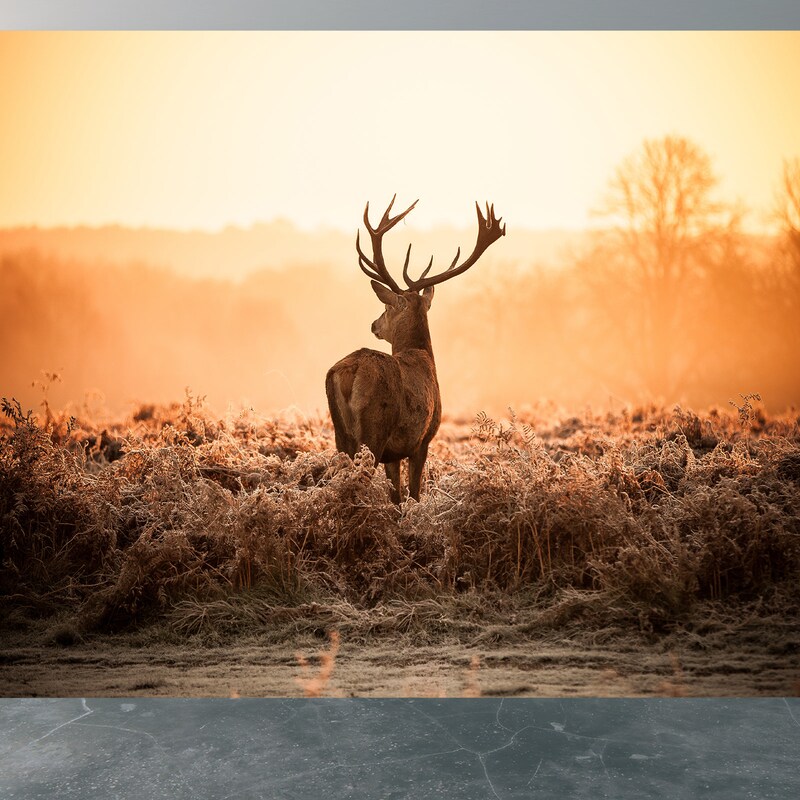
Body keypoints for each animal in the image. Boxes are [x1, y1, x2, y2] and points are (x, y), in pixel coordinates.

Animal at [325, 196, 505, 503]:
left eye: (386, 308)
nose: (374, 324)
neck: (422, 355)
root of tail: (350, 370)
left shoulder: (394, 453)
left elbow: (396, 496)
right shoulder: (423, 439)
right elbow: (414, 494)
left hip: (341, 435)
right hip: (374, 430)